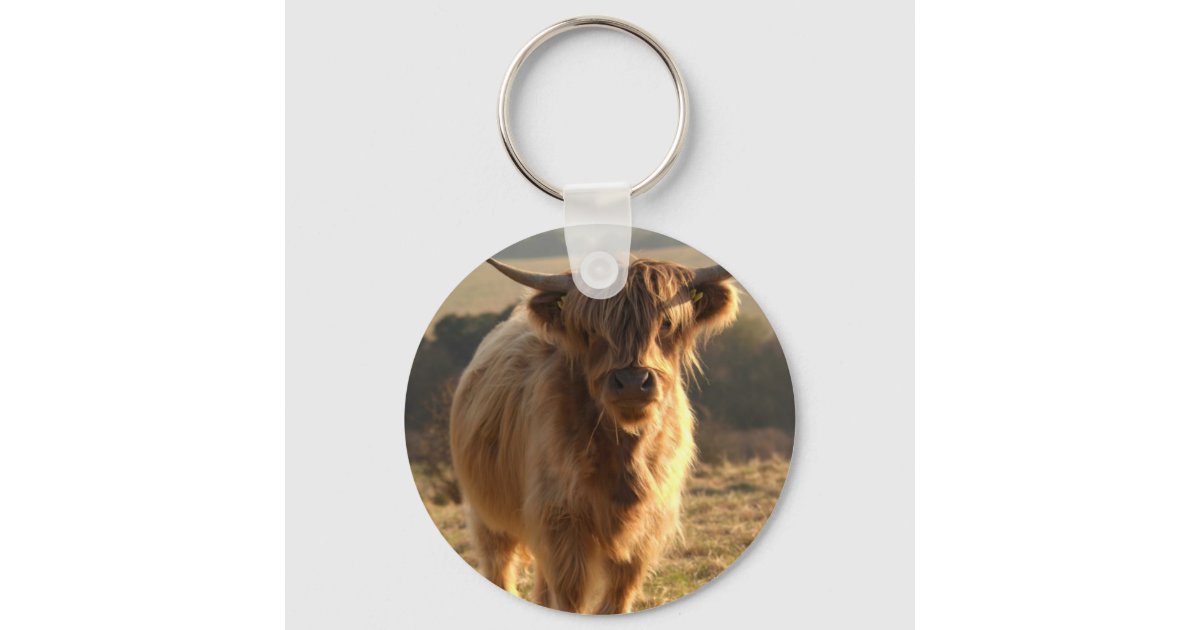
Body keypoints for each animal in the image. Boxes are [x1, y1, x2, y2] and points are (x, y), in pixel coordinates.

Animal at [448, 257, 739, 614]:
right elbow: (570, 595)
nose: (632, 382)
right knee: (499, 565)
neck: (624, 451)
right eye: (591, 330)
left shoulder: (643, 532)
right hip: (488, 514)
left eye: (666, 323)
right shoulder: (561, 520)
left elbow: (616, 597)